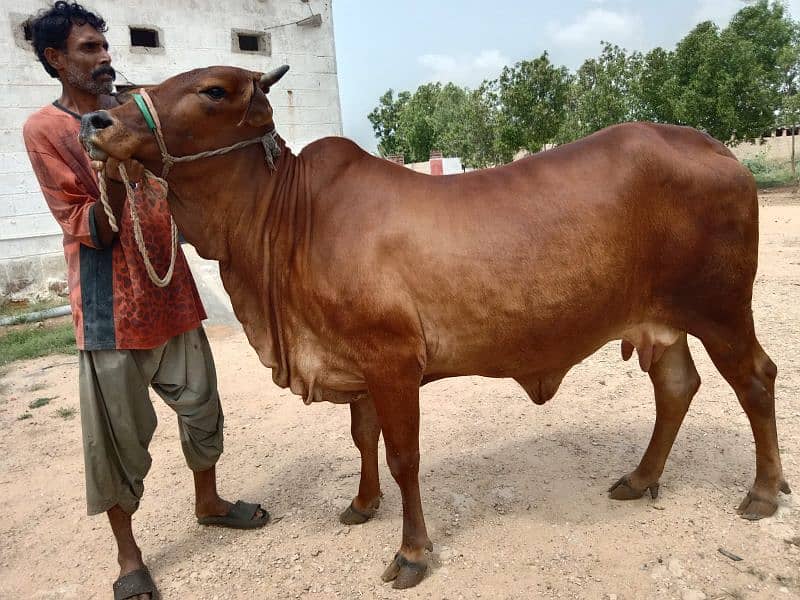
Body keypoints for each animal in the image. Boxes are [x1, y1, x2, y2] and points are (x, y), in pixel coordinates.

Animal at [79, 65, 790, 589]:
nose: (96, 121)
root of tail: (713, 145)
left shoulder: (392, 362)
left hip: (722, 308)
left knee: (756, 379)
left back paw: (762, 492)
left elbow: (404, 457)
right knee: (676, 387)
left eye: (212, 90)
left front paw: (412, 553)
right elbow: (363, 440)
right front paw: (362, 505)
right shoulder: (357, 362)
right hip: (663, 322)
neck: (284, 220)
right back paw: (641, 480)